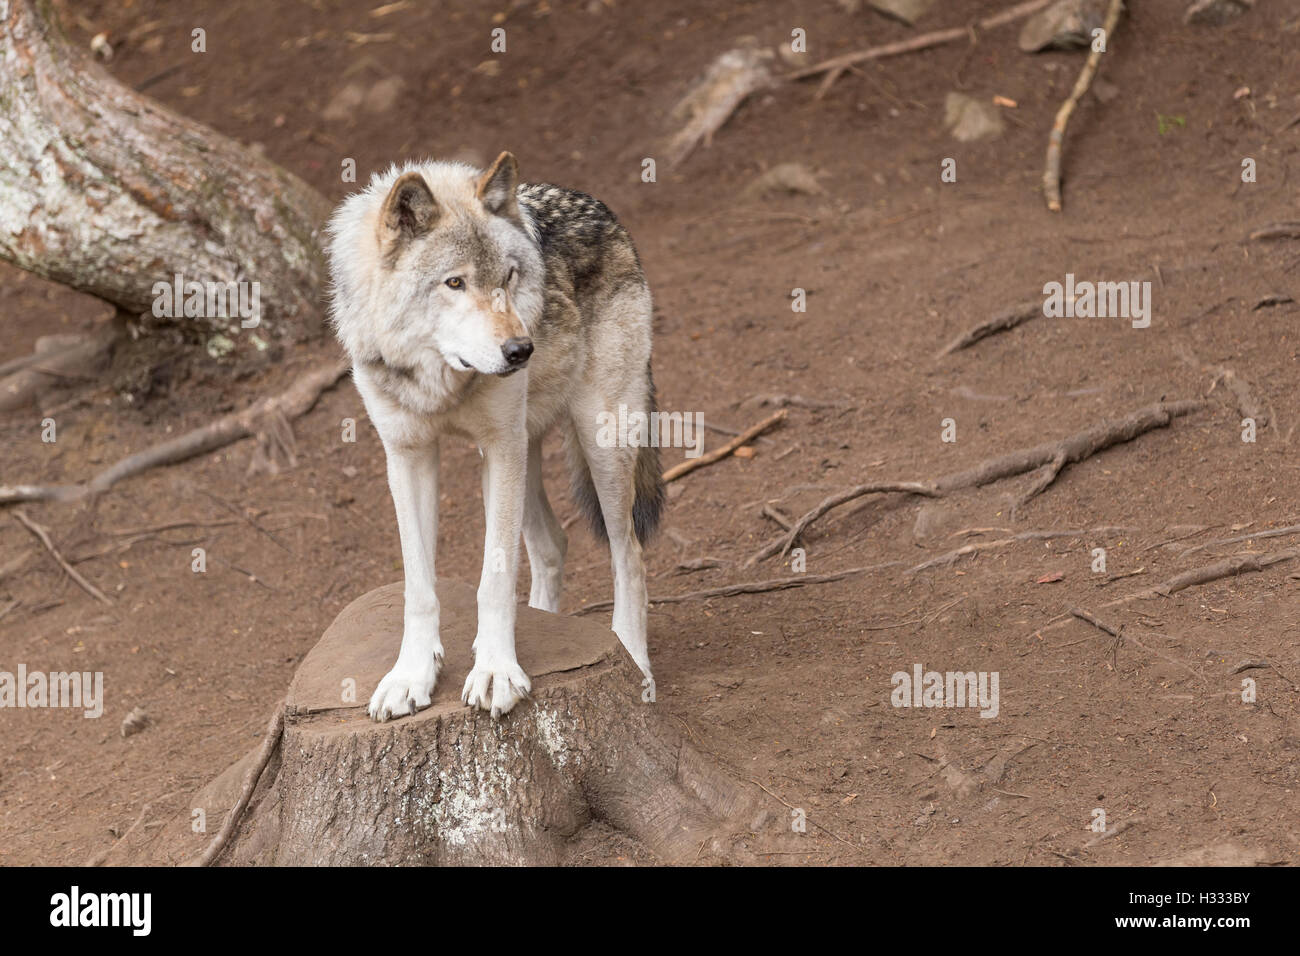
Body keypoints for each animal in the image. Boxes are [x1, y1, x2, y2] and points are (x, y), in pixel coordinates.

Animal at [326, 152, 663, 721]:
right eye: (454, 283)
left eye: (508, 276)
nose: (521, 350)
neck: (441, 381)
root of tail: (602, 208)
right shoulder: (409, 454)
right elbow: (419, 586)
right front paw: (411, 676)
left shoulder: (502, 447)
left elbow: (495, 579)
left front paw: (496, 673)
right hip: (523, 453)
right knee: (552, 545)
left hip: (599, 439)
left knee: (630, 554)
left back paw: (633, 659)